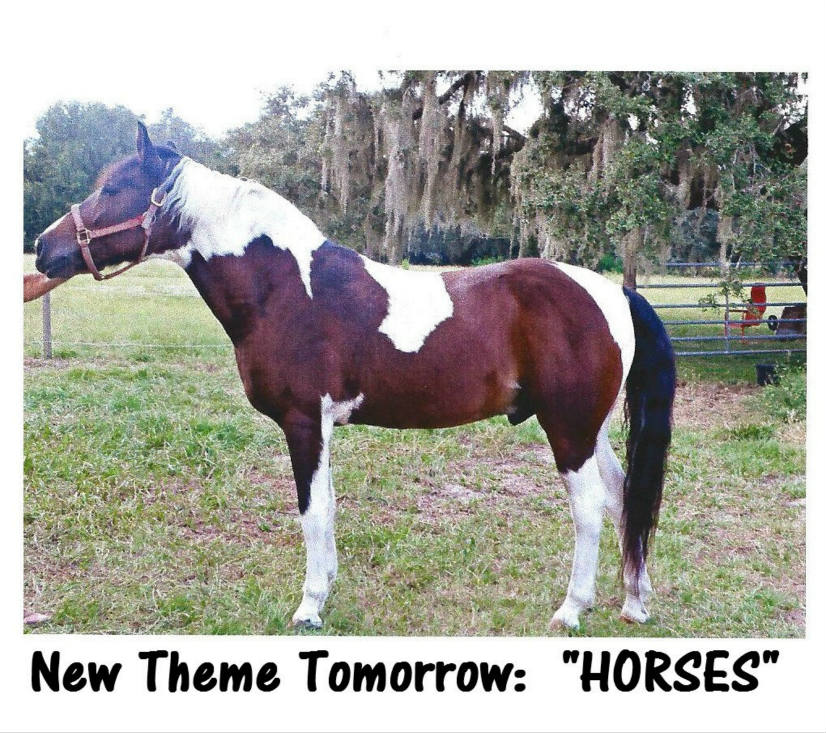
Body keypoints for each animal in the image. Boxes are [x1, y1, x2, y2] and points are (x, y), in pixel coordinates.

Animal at [34, 122, 676, 631]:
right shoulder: (319, 426)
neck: (285, 290)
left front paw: (309, 607)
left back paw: (571, 610)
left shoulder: (303, 422)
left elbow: (312, 510)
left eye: (112, 189)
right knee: (624, 497)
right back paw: (634, 602)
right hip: (588, 429)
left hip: (568, 429)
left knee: (590, 508)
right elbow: (328, 506)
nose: (42, 248)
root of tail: (612, 292)